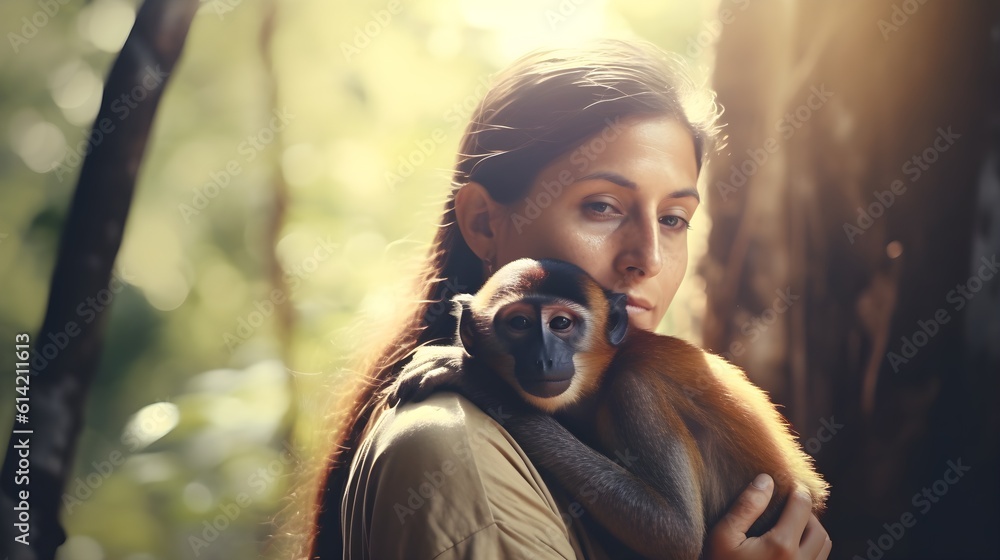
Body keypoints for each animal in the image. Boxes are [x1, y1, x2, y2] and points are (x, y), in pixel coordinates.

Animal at [388, 257, 829, 560]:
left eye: (561, 324)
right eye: (519, 324)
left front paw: (478, 378)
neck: (609, 369)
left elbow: (677, 533)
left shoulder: (635, 390)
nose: (544, 358)